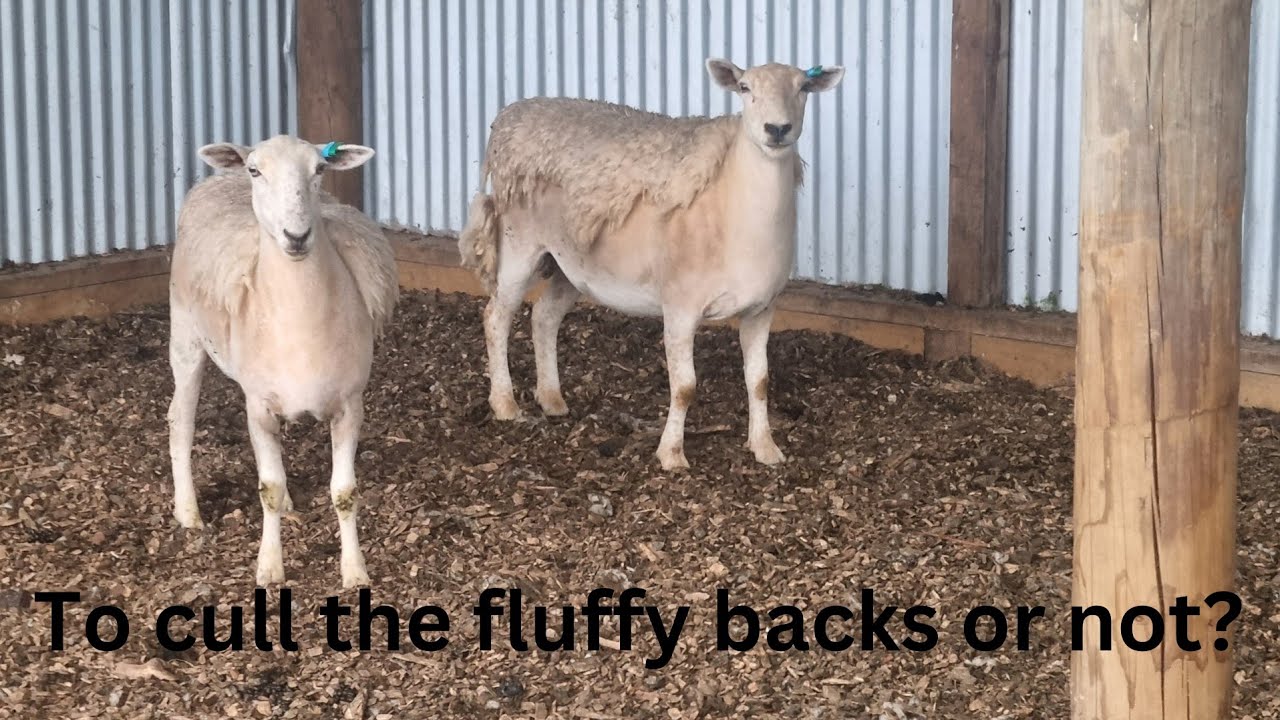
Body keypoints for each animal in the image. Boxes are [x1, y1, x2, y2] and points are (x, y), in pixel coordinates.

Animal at [167, 135, 398, 588]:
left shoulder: (350, 404)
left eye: (320, 170)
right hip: (185, 333)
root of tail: (218, 179)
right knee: (179, 419)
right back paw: (188, 513)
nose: (297, 235)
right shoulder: (258, 404)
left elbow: (344, 493)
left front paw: (354, 571)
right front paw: (270, 567)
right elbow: (268, 489)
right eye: (255, 170)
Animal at [458, 59, 844, 470]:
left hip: (570, 266)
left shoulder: (761, 309)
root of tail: (511, 116)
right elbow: (685, 387)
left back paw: (551, 398)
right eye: (744, 88)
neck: (732, 202)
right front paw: (672, 454)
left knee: (543, 317)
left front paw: (765, 448)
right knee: (496, 317)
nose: (777, 129)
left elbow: (759, 382)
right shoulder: (680, 305)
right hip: (521, 242)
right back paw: (505, 404)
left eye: (803, 87)